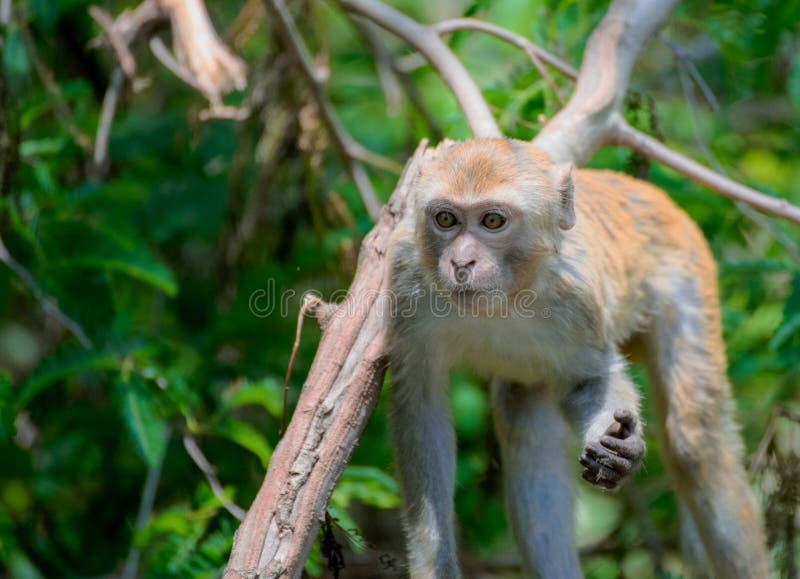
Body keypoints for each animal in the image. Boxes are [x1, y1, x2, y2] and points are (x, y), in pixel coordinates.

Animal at [385, 138, 769, 578]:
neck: (509, 295)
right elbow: (421, 412)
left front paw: (619, 449)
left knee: (694, 439)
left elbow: (592, 378)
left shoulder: (577, 298)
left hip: (686, 271)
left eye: (493, 221)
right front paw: (436, 566)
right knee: (526, 420)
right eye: (446, 219)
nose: (461, 262)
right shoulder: (406, 280)